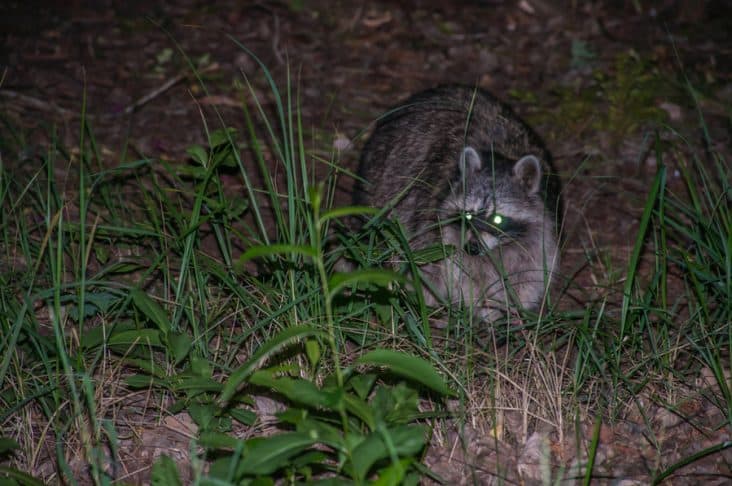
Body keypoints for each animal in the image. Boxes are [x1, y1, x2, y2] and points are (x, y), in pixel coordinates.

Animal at [354, 85, 561, 322]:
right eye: (468, 214)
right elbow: (453, 269)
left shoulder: (542, 226)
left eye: (497, 219)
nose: (472, 247)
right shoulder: (436, 219)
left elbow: (532, 272)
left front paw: (509, 308)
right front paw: (473, 305)